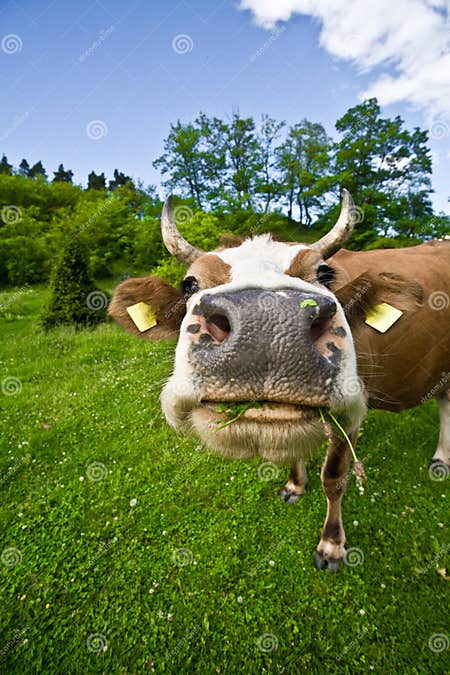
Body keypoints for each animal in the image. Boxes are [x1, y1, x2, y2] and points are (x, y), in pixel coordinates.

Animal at [109, 190, 450, 571]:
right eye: (189, 284)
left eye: (324, 274)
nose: (266, 322)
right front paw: (295, 485)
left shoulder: (350, 417)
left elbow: (334, 478)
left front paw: (331, 545)